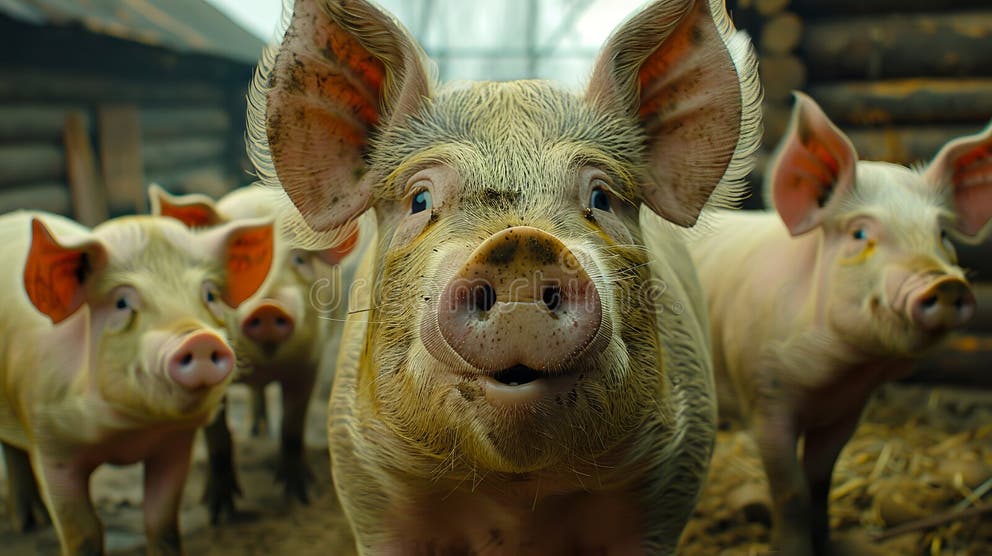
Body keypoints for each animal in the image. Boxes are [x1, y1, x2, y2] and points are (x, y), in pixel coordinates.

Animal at [0, 210, 274, 556]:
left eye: (209, 295)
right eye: (122, 303)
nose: (199, 339)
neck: (129, 432)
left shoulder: (175, 443)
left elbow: (161, 521)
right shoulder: (50, 444)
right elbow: (84, 532)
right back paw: (29, 525)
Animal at [149, 184, 362, 520]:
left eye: (299, 258)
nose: (268, 307)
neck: (264, 364)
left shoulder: (308, 362)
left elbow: (292, 425)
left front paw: (302, 497)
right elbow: (218, 437)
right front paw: (219, 514)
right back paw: (255, 430)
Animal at [253, 0, 762, 552]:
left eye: (602, 198)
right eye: (420, 199)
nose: (521, 244)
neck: (515, 494)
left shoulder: (673, 476)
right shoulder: (362, 477)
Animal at [688, 92, 992, 556]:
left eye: (942, 234)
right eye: (860, 235)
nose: (945, 283)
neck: (838, 372)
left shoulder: (848, 409)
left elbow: (819, 482)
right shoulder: (763, 394)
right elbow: (791, 489)